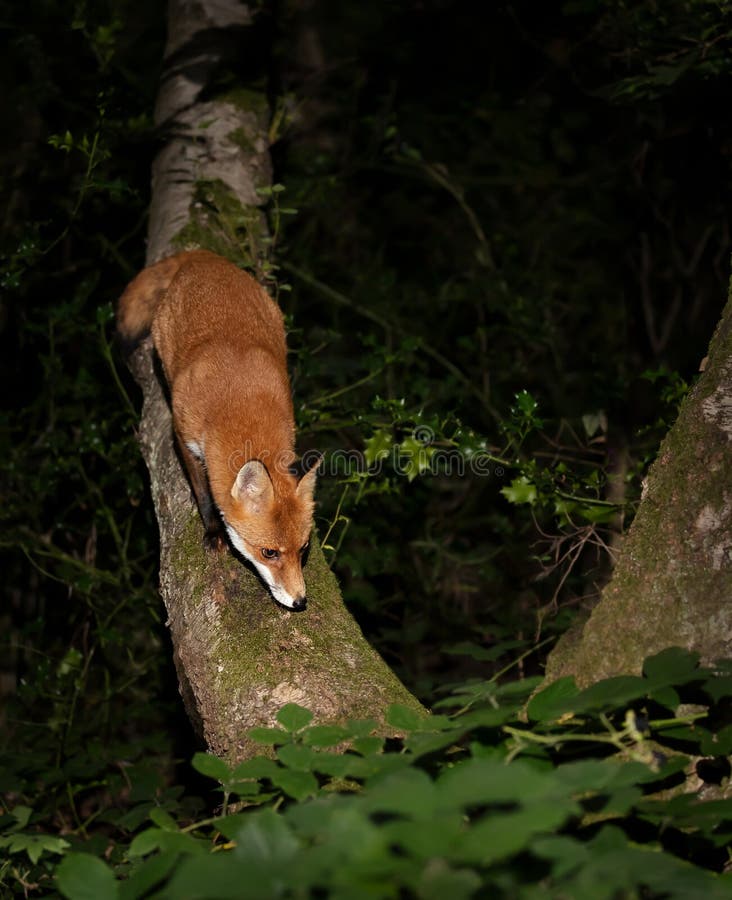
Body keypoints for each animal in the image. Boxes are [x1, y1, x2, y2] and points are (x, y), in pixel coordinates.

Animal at [117, 249, 319, 611]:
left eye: (304, 548)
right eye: (269, 552)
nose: (300, 602)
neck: (243, 405)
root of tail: (202, 256)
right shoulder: (183, 438)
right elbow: (204, 495)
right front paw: (213, 532)